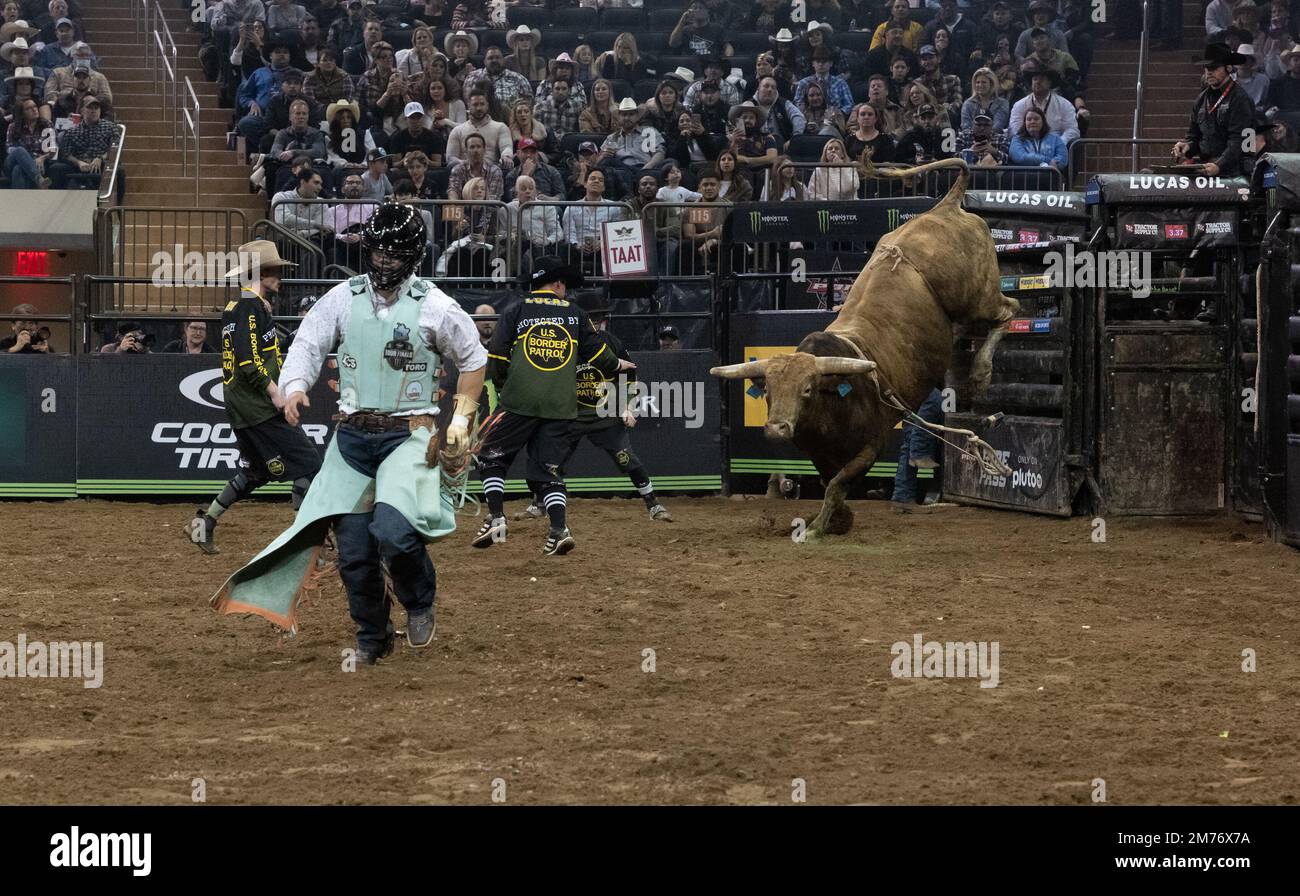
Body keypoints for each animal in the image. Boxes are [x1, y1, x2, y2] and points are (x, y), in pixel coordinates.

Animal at [711, 158, 1019, 538]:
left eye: (807, 389)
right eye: (767, 389)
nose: (777, 428)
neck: (836, 397)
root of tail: (946, 207)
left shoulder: (870, 447)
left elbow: (837, 485)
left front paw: (817, 528)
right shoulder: (821, 455)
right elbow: (831, 483)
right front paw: (836, 520)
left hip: (977, 297)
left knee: (1009, 310)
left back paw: (980, 374)